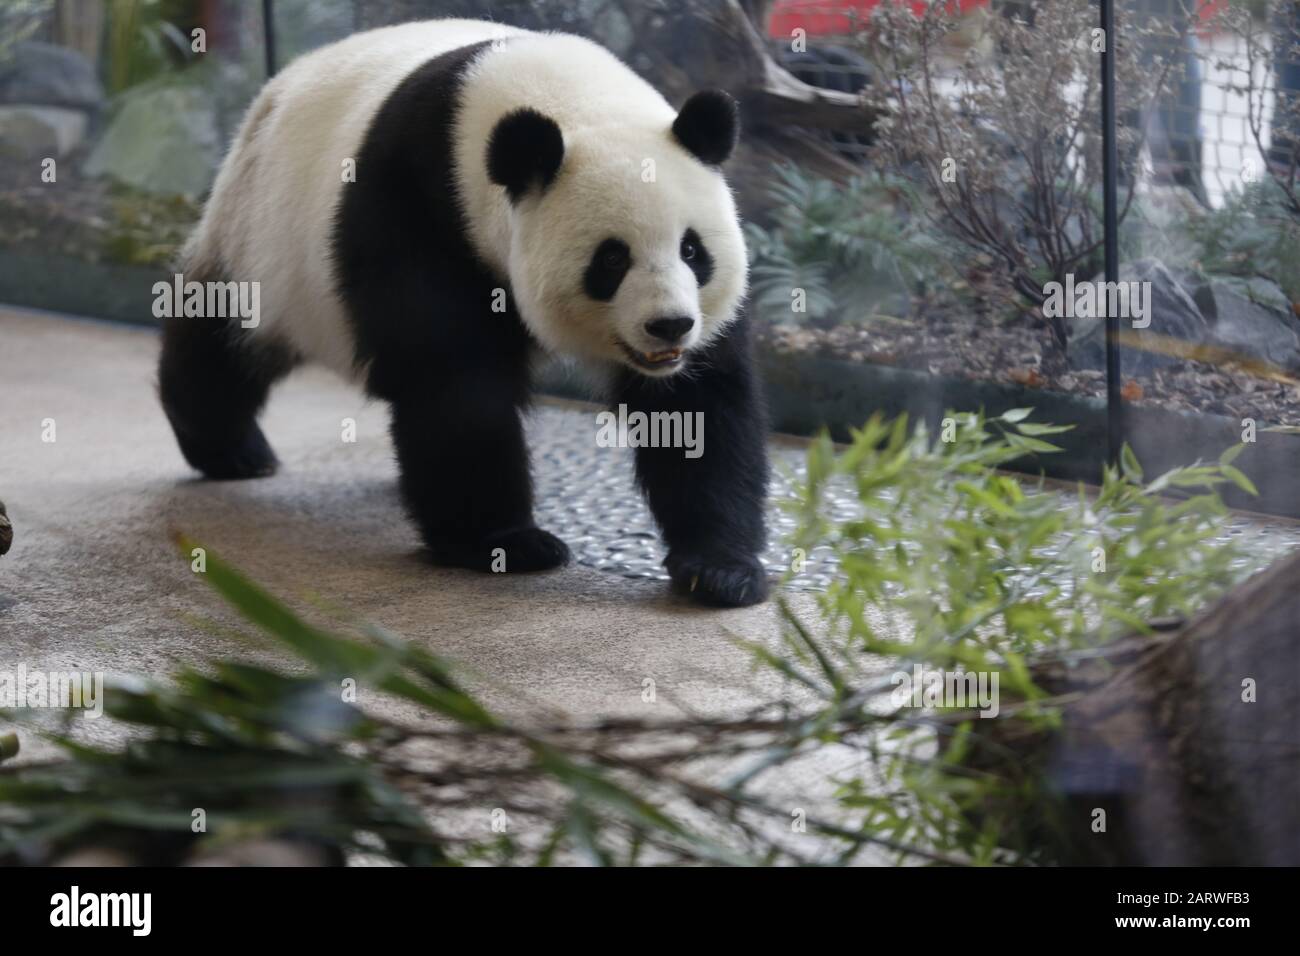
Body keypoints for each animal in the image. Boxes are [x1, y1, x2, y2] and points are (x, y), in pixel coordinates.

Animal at [158, 19, 770, 607]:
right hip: (261, 240)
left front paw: (720, 569)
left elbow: (700, 405)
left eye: (692, 250)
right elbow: (453, 380)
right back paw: (232, 450)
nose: (669, 326)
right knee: (221, 342)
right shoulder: (417, 201)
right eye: (612, 259)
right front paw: (503, 543)